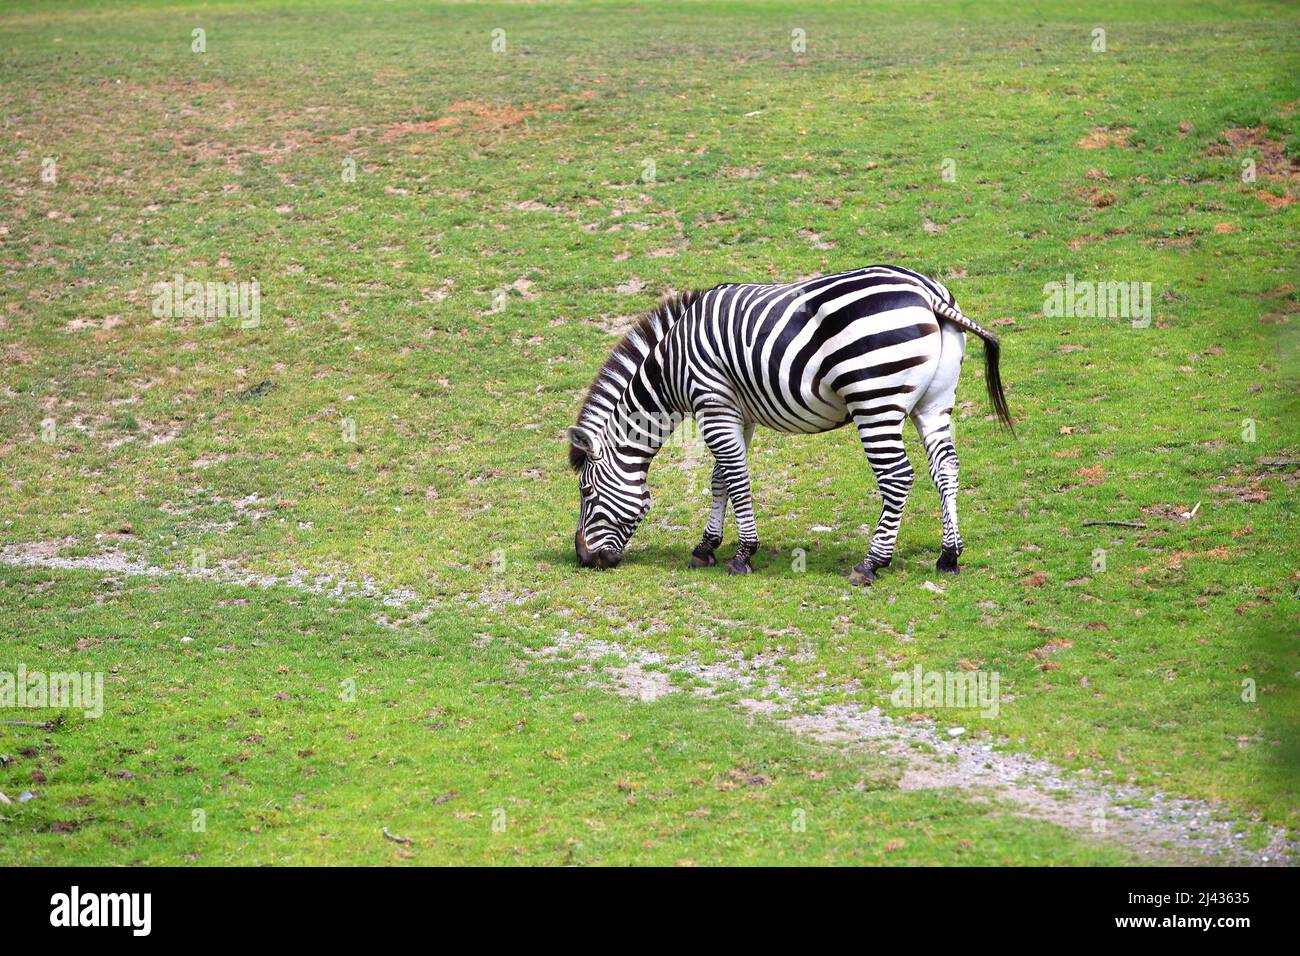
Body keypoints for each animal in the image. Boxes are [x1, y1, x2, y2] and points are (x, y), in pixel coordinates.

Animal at [567, 265, 1012, 583]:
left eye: (586, 492)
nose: (583, 559)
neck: (670, 366)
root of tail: (928, 293)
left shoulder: (712, 403)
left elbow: (736, 478)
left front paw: (743, 554)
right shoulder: (735, 412)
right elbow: (720, 478)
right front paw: (706, 547)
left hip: (875, 401)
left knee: (897, 477)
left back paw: (871, 564)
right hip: (934, 402)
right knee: (946, 468)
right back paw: (948, 556)